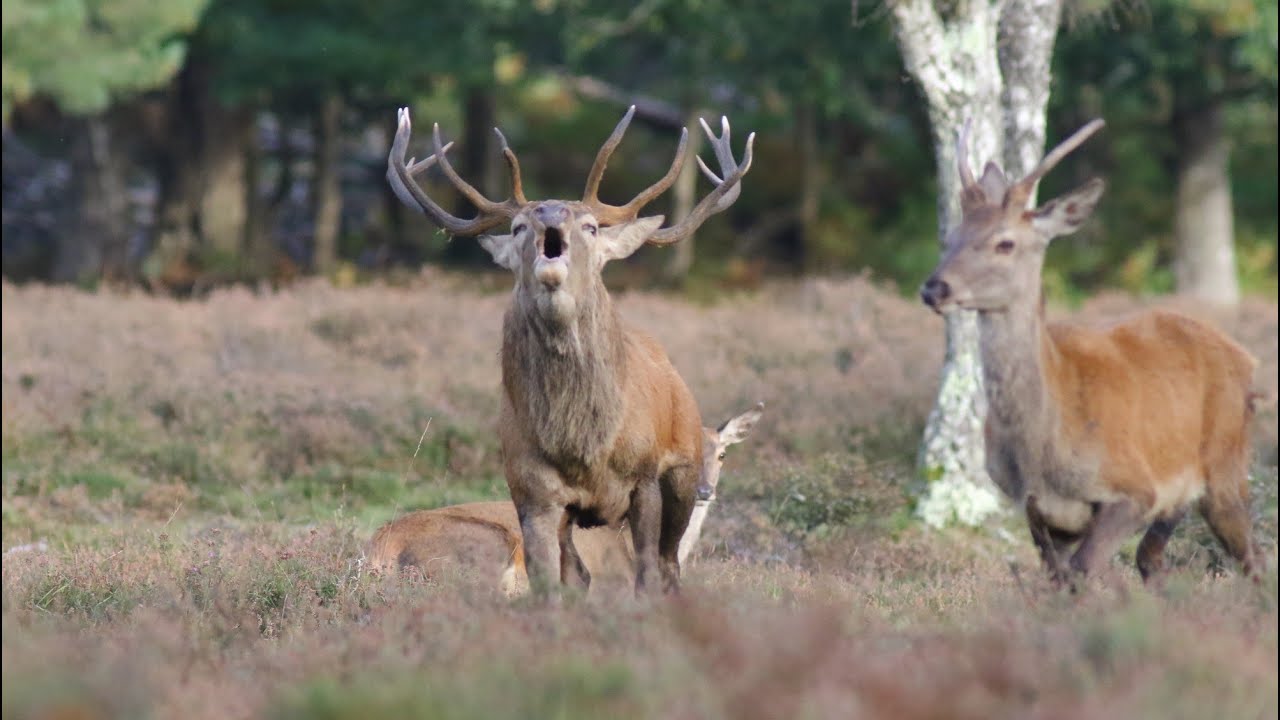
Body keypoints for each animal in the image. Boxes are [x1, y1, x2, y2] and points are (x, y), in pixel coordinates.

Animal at [919, 118, 1261, 587]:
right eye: (951, 236)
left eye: (1005, 243)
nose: (934, 288)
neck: (1043, 448)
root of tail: (1246, 358)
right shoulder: (1038, 511)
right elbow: (1058, 581)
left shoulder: (1133, 488)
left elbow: (1082, 573)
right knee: (1152, 560)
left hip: (1226, 464)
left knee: (1253, 560)